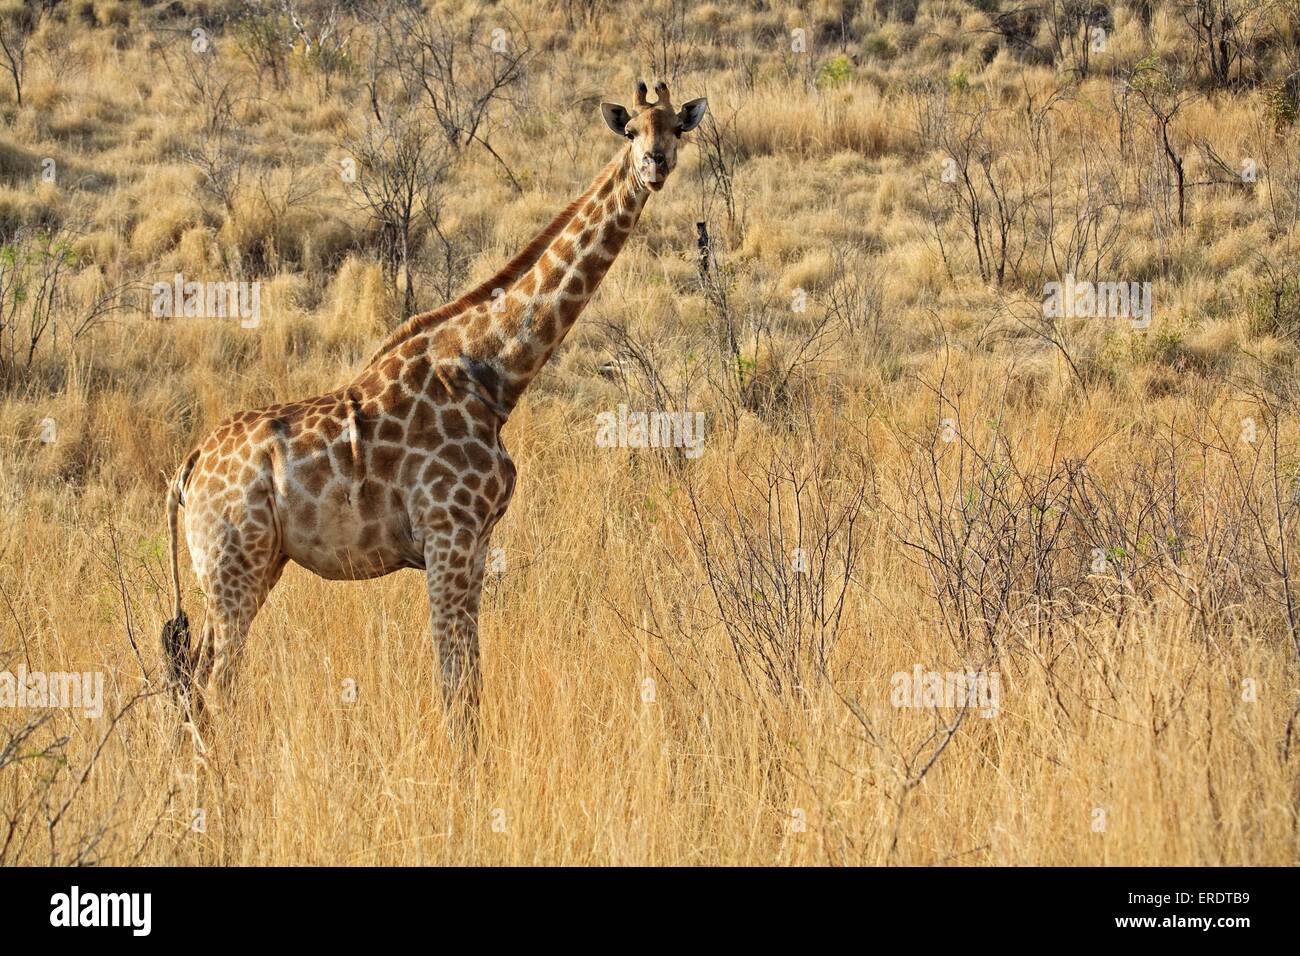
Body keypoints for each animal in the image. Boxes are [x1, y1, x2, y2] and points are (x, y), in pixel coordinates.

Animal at [160, 81, 708, 738]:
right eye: (631, 131)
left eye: (676, 127)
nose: (655, 164)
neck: (495, 372)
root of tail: (188, 468)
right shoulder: (448, 535)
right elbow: (455, 687)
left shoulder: (475, 544)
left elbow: (469, 684)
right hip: (232, 561)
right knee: (215, 684)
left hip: (252, 564)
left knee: (194, 678)